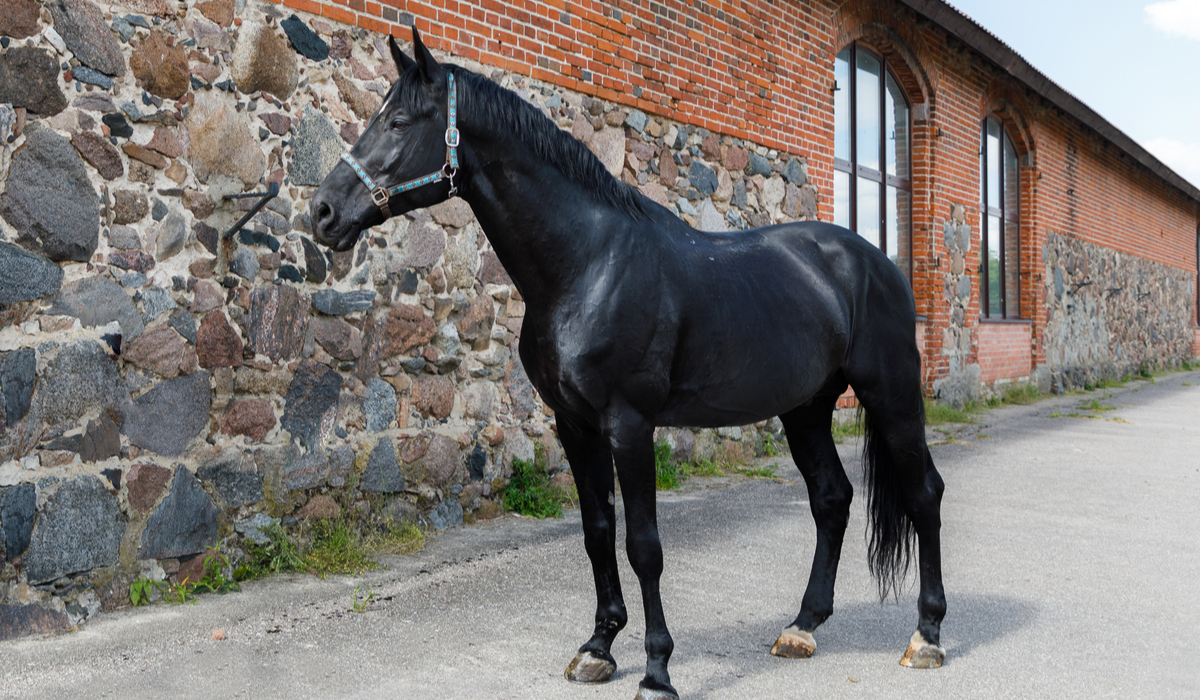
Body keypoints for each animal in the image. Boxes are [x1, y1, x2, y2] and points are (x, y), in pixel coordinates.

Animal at [310, 27, 947, 700]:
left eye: (400, 121)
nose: (322, 212)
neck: (589, 265)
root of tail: (876, 262)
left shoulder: (629, 424)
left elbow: (644, 545)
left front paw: (657, 671)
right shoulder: (575, 424)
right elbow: (597, 532)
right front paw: (597, 647)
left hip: (892, 396)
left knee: (923, 493)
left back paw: (927, 636)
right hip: (806, 408)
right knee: (831, 498)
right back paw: (802, 627)